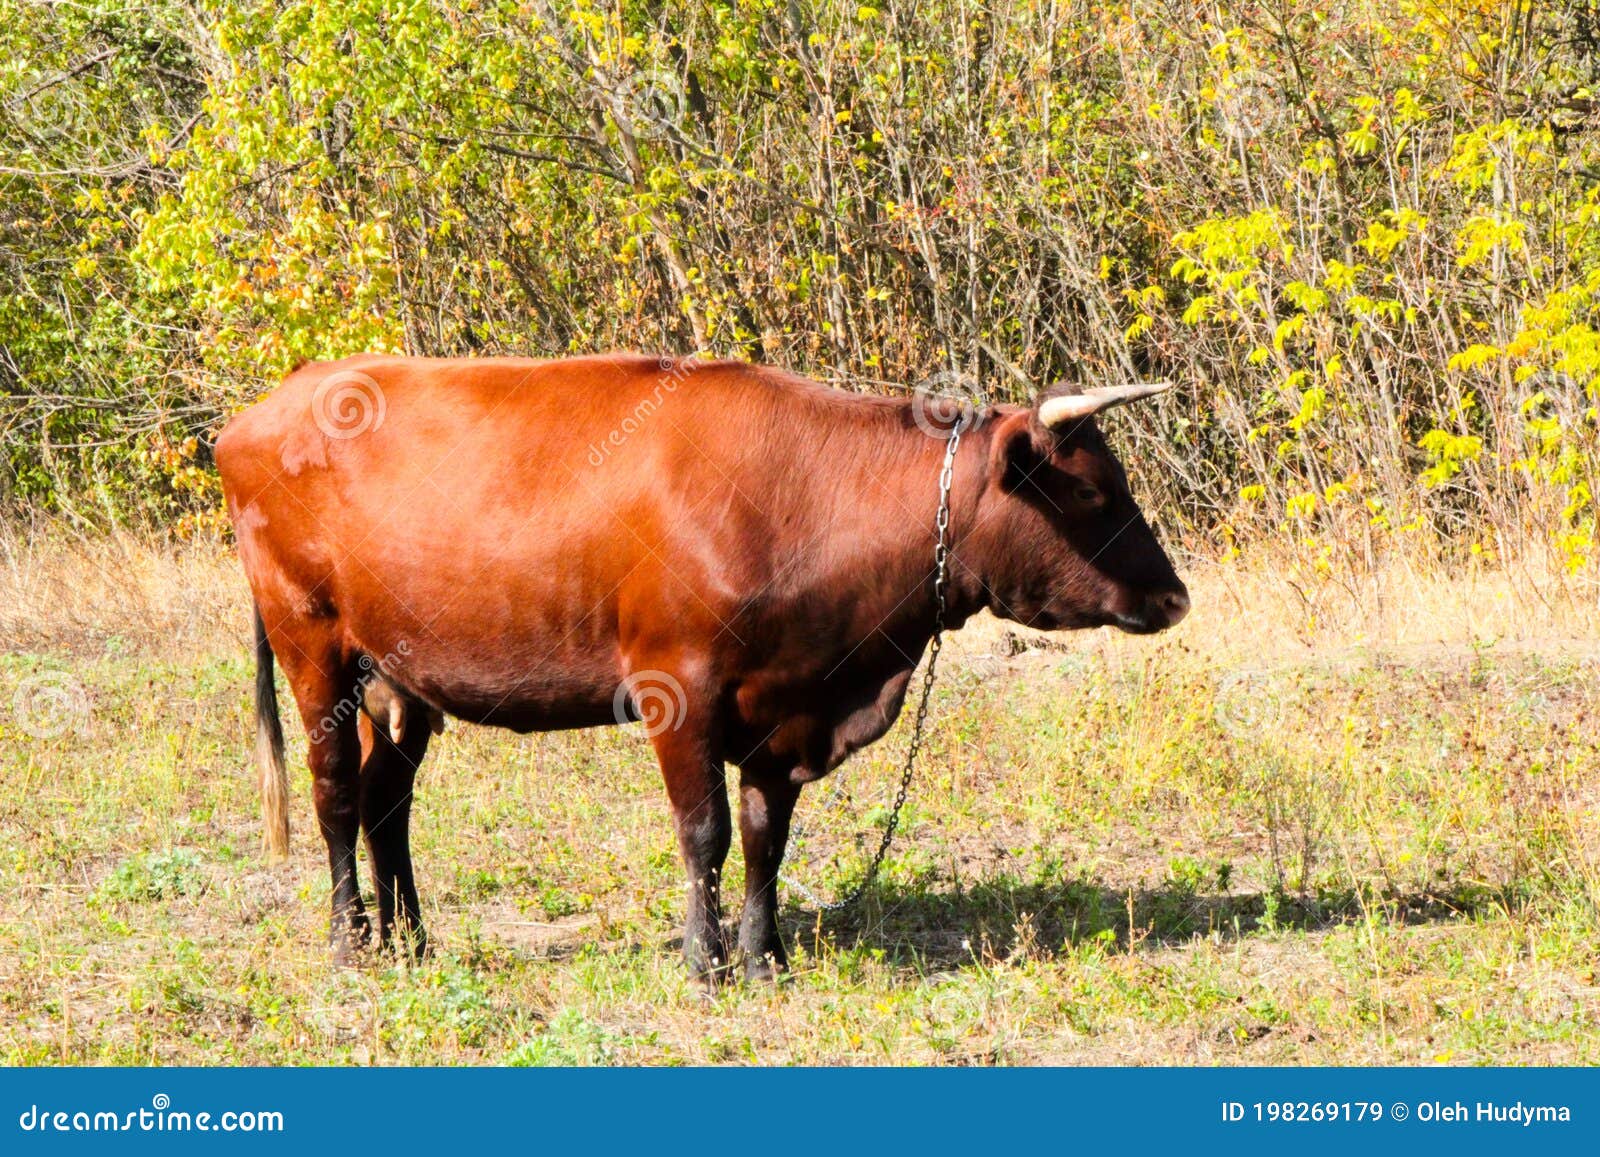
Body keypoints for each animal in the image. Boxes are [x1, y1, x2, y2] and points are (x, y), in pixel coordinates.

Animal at [215, 353, 1188, 983]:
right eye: (1092, 490)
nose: (1176, 595)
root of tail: (270, 406)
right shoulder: (676, 689)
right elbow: (705, 830)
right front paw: (703, 957)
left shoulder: (784, 706)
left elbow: (764, 833)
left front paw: (763, 956)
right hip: (313, 645)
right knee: (338, 793)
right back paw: (350, 942)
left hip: (401, 676)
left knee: (388, 798)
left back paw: (411, 938)